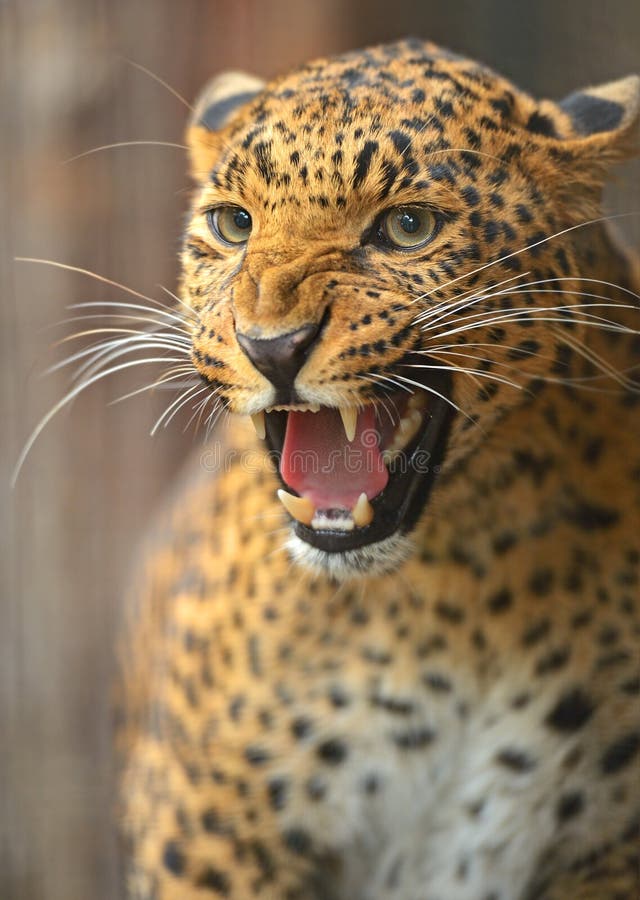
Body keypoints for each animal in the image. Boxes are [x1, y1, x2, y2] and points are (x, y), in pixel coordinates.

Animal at [117, 38, 640, 900]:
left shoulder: (605, 849)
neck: (451, 603)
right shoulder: (210, 834)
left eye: (406, 228)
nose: (271, 346)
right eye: (234, 224)